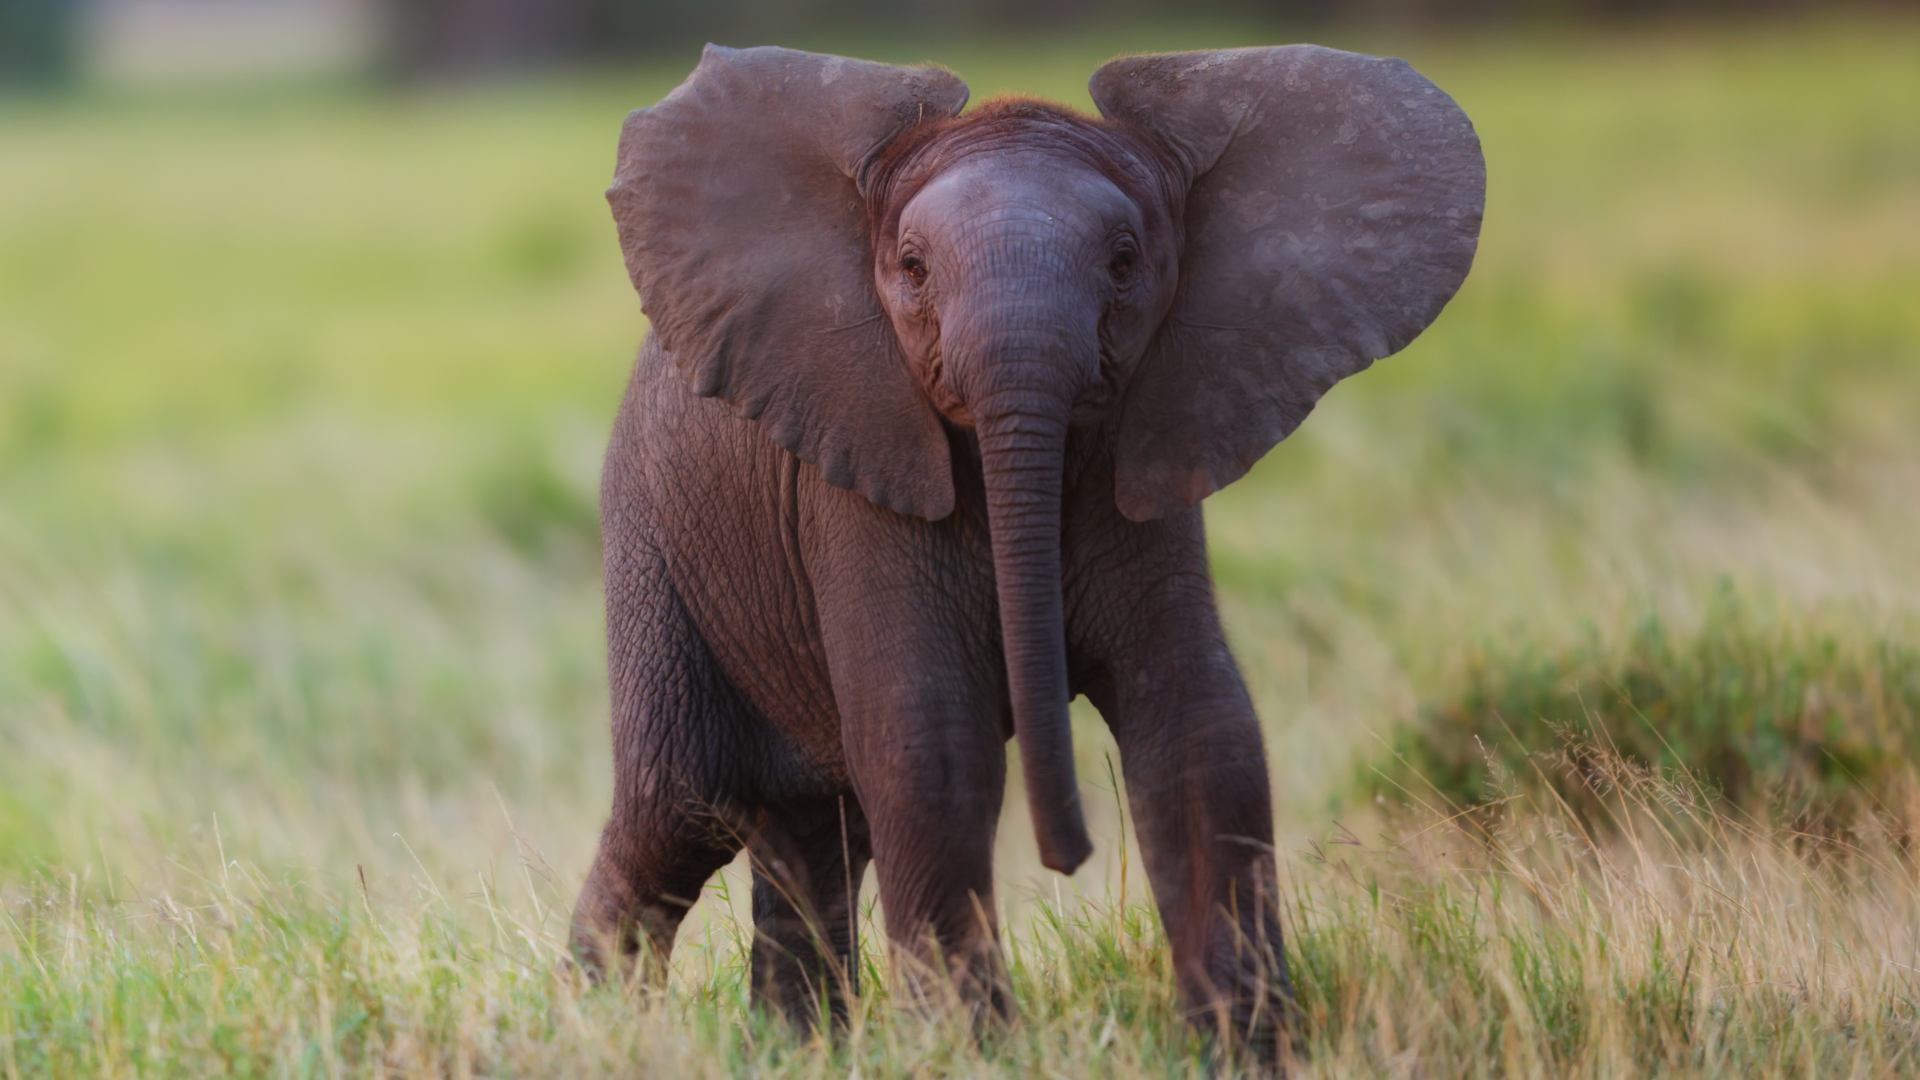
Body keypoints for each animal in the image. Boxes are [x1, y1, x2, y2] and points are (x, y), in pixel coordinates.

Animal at [569, 41, 1483, 1061]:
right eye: (912, 267)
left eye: (1124, 262)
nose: (1069, 858)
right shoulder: (859, 473)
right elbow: (931, 743)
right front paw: (974, 1054)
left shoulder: (1150, 443)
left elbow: (1201, 729)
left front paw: (1243, 1050)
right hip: (653, 552)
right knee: (677, 815)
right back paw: (592, 1022)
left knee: (812, 836)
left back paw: (795, 1049)